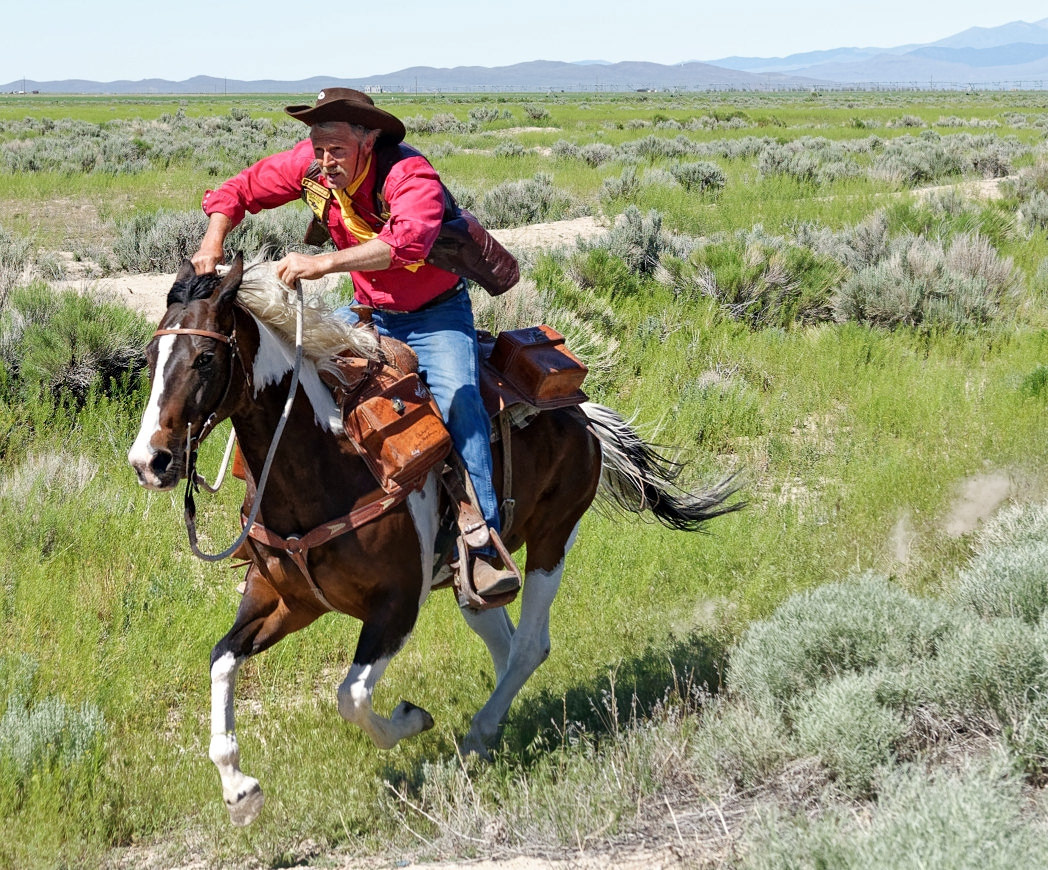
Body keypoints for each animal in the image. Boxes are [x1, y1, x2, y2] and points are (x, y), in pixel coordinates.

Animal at [127, 254, 741, 826]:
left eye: (205, 358)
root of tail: (582, 410)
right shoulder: (285, 599)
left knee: (529, 644)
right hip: (473, 583)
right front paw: (240, 790)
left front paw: (411, 719)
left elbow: (351, 695)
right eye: (151, 360)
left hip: (553, 539)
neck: (325, 462)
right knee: (505, 642)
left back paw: (478, 735)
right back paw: (498, 731)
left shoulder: (397, 605)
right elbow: (222, 661)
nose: (149, 461)